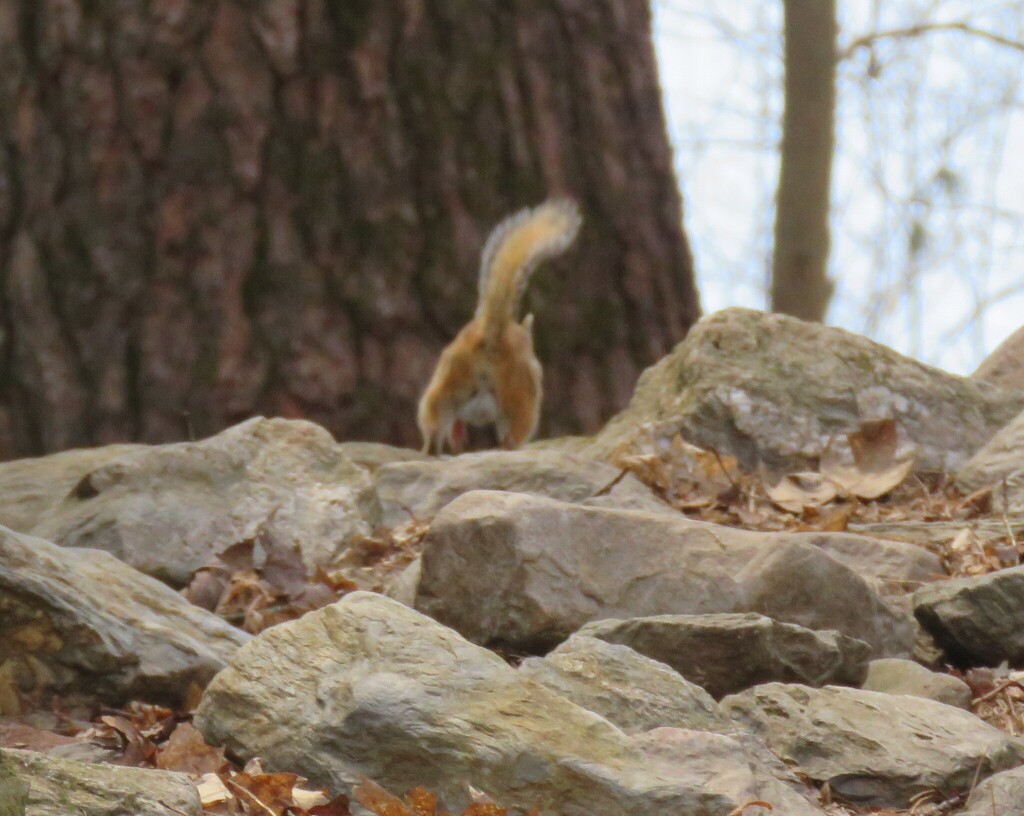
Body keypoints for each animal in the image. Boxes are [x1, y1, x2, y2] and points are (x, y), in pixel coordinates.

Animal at [417, 198, 582, 455]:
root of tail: (492, 337)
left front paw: (458, 436)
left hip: (448, 386)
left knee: (435, 424)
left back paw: (435, 449)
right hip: (520, 397)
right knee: (513, 434)